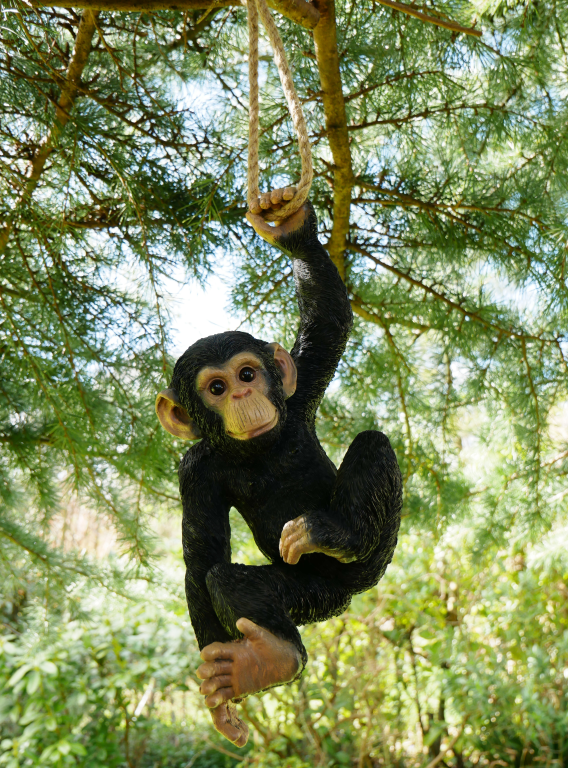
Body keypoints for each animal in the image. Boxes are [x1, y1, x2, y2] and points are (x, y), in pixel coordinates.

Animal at [155, 192, 403, 747]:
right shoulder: (192, 472)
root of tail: (351, 594)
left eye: (247, 373)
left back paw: (339, 532)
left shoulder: (301, 387)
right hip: (315, 596)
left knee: (373, 446)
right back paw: (269, 659)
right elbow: (201, 560)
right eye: (216, 388)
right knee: (230, 579)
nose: (242, 395)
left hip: (372, 560)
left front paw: (291, 228)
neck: (259, 451)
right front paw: (220, 704)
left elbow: (330, 322)